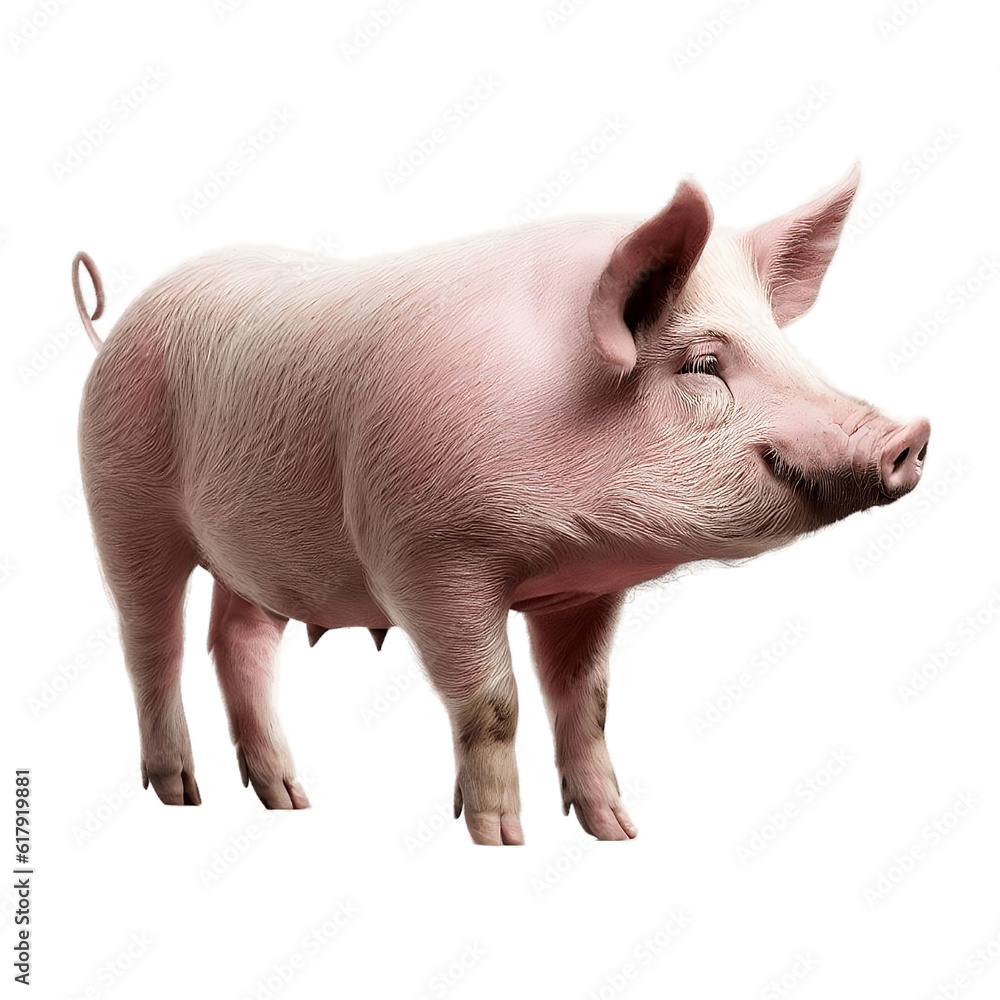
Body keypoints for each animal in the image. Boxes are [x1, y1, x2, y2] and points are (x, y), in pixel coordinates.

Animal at [74, 166, 929, 845]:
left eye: (788, 350)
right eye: (702, 363)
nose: (909, 434)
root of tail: (116, 328)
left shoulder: (586, 589)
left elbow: (587, 701)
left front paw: (618, 832)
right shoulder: (426, 555)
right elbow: (494, 703)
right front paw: (500, 838)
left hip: (255, 549)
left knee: (238, 641)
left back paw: (290, 802)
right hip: (122, 501)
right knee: (150, 642)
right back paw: (182, 794)